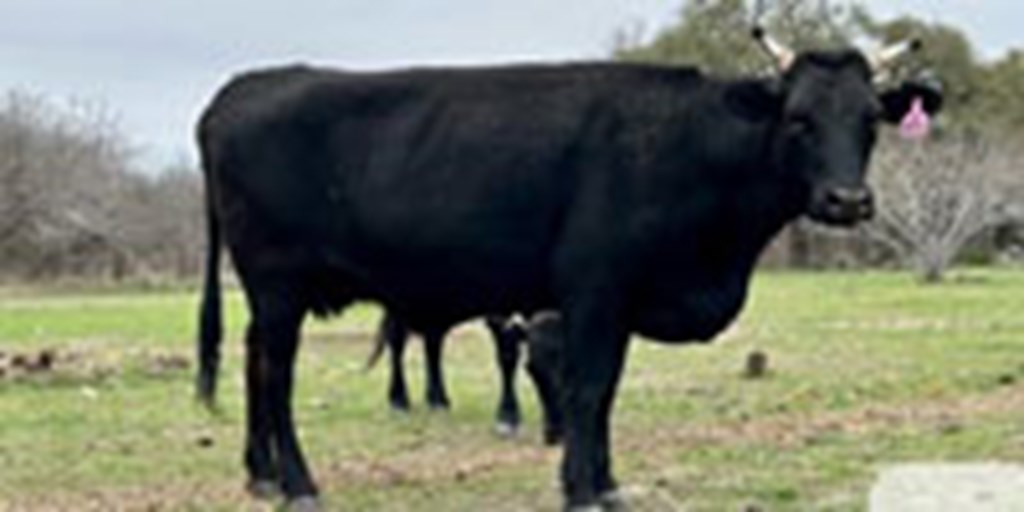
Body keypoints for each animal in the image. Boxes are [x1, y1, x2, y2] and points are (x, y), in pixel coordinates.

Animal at [195, 26, 942, 511]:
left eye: (870, 118)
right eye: (798, 117)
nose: (848, 200)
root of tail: (244, 86)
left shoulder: (617, 303)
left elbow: (604, 393)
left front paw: (604, 483)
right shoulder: (595, 292)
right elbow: (588, 389)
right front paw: (582, 490)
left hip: (267, 293)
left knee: (253, 362)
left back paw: (260, 475)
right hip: (277, 282)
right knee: (275, 375)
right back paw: (298, 485)